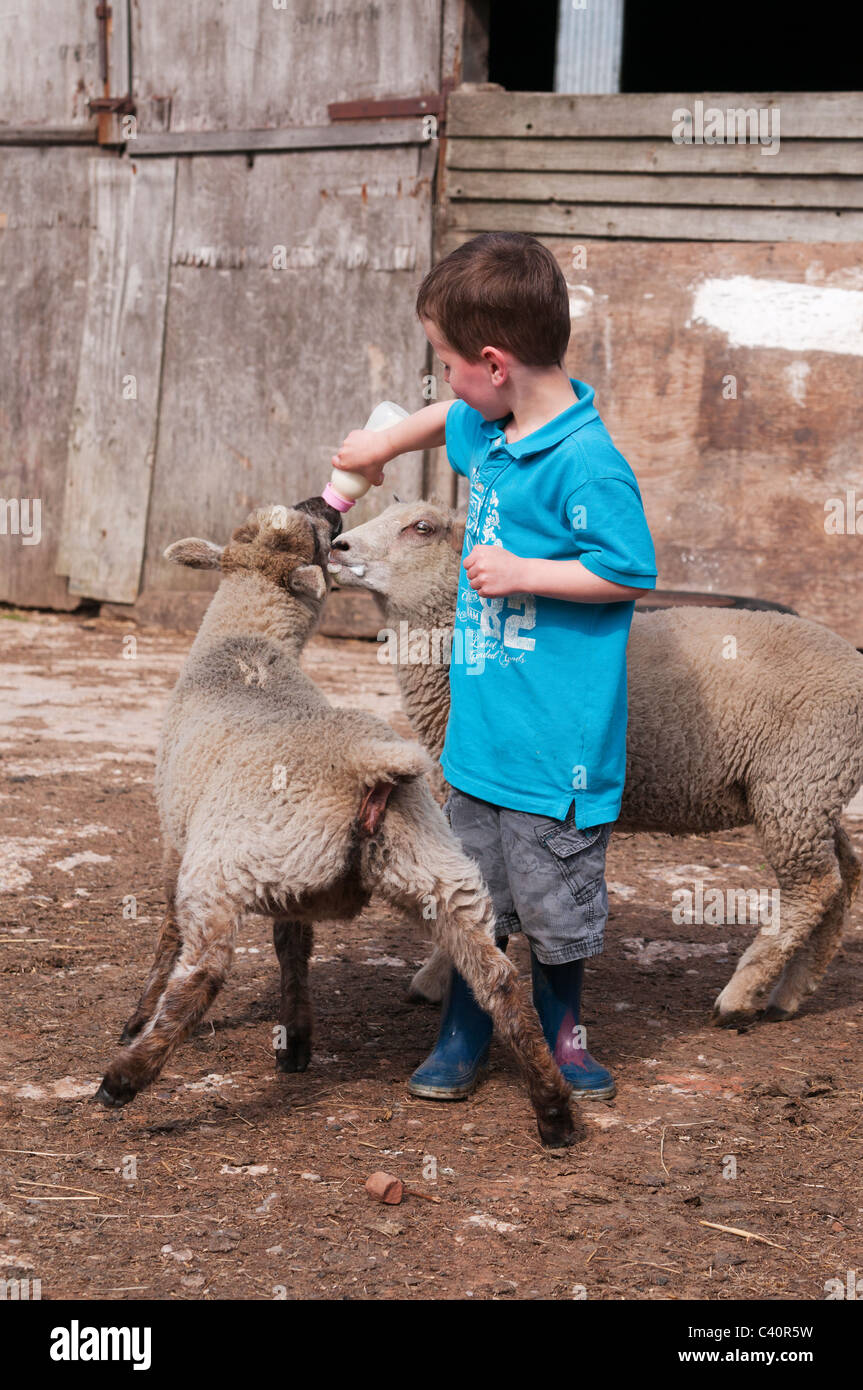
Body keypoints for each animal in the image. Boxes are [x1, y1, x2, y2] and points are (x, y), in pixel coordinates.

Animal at [95, 498, 575, 1148]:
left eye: (317, 530)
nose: (324, 506)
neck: (243, 646)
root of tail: (366, 764)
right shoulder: (287, 884)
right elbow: (293, 946)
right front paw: (296, 1039)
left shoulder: (177, 835)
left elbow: (169, 931)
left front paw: (136, 1018)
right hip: (437, 872)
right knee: (497, 977)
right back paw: (554, 1110)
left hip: (224, 868)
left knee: (204, 972)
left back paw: (124, 1078)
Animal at [328, 498, 863, 1026]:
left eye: (422, 528)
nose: (338, 546)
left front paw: (438, 977)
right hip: (814, 786)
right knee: (844, 875)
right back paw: (791, 992)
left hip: (795, 781)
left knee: (813, 885)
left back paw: (741, 994)